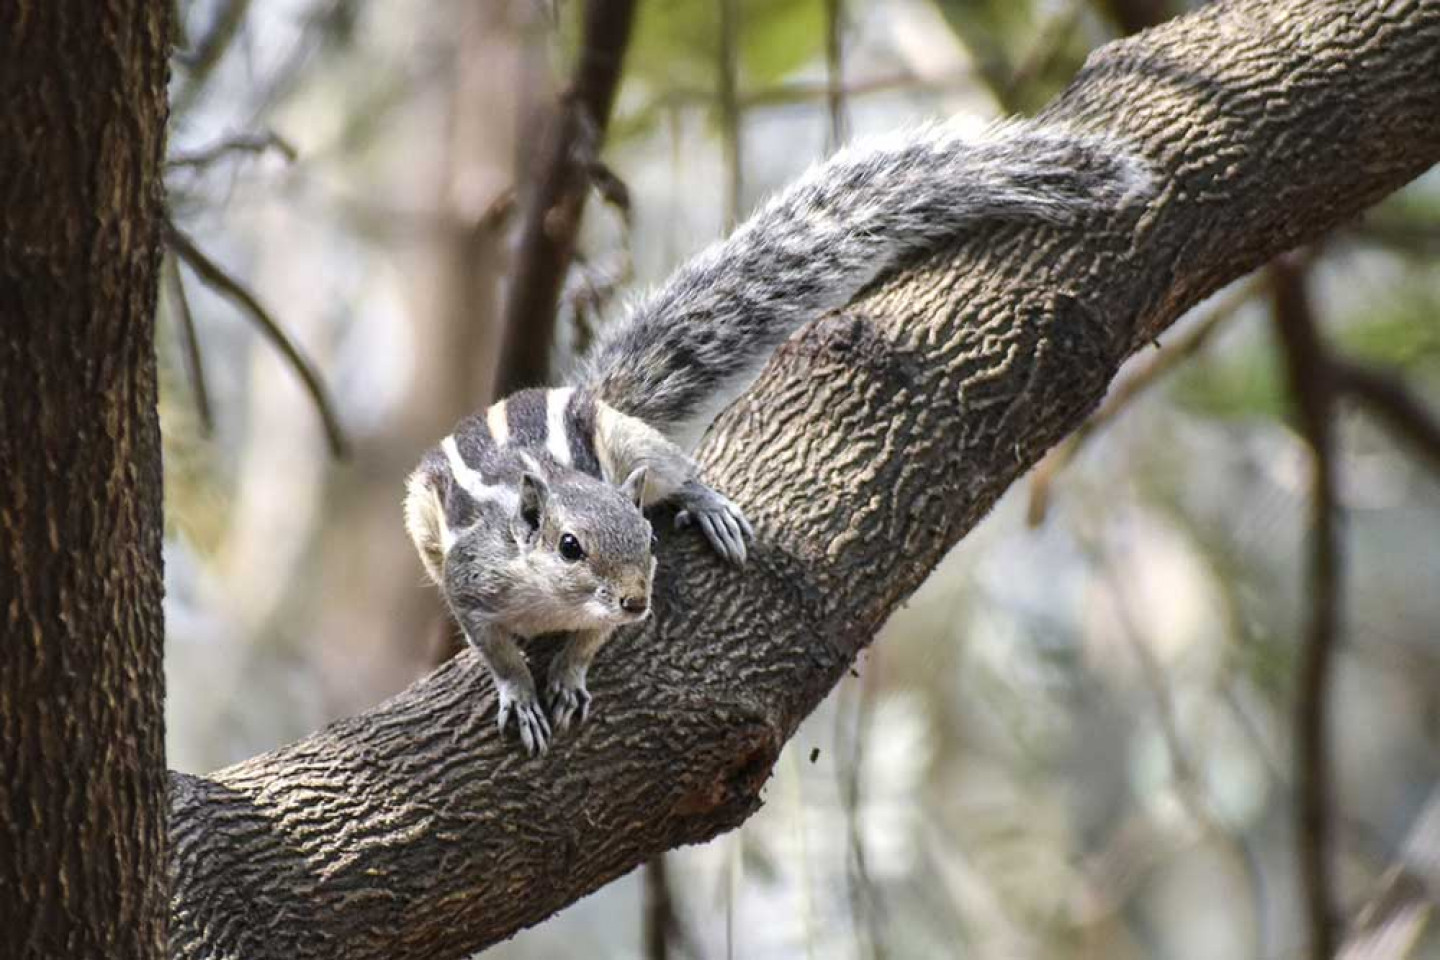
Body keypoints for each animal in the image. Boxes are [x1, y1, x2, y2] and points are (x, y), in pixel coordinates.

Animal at [404, 117, 1150, 755]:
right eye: (568, 547)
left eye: (646, 542)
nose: (637, 600)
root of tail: (589, 397)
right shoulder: (473, 586)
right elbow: (495, 649)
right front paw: (519, 691)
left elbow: (591, 642)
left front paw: (567, 676)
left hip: (638, 446)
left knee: (676, 469)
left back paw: (707, 505)